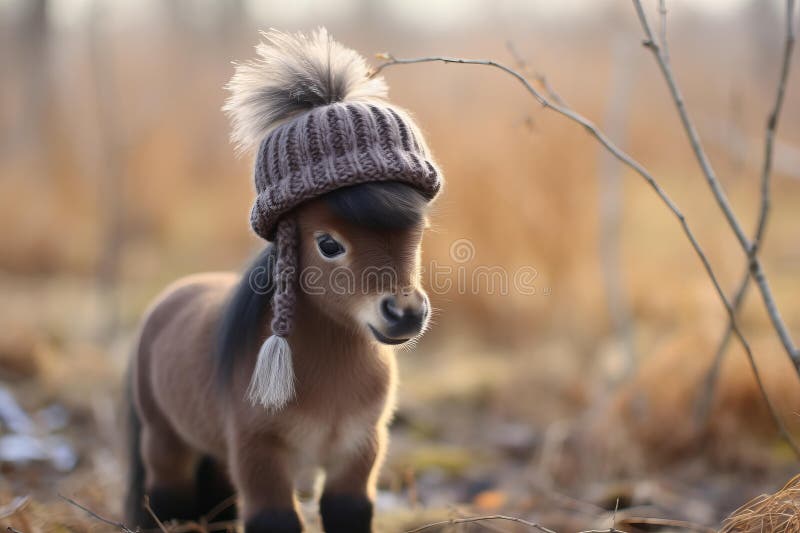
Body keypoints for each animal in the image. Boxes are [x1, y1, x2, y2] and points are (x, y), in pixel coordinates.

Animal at [125, 180, 431, 533]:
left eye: (418, 234)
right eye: (329, 244)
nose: (406, 314)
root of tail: (168, 298)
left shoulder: (358, 447)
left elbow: (349, 510)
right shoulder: (259, 452)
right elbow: (274, 519)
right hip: (165, 438)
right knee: (167, 495)